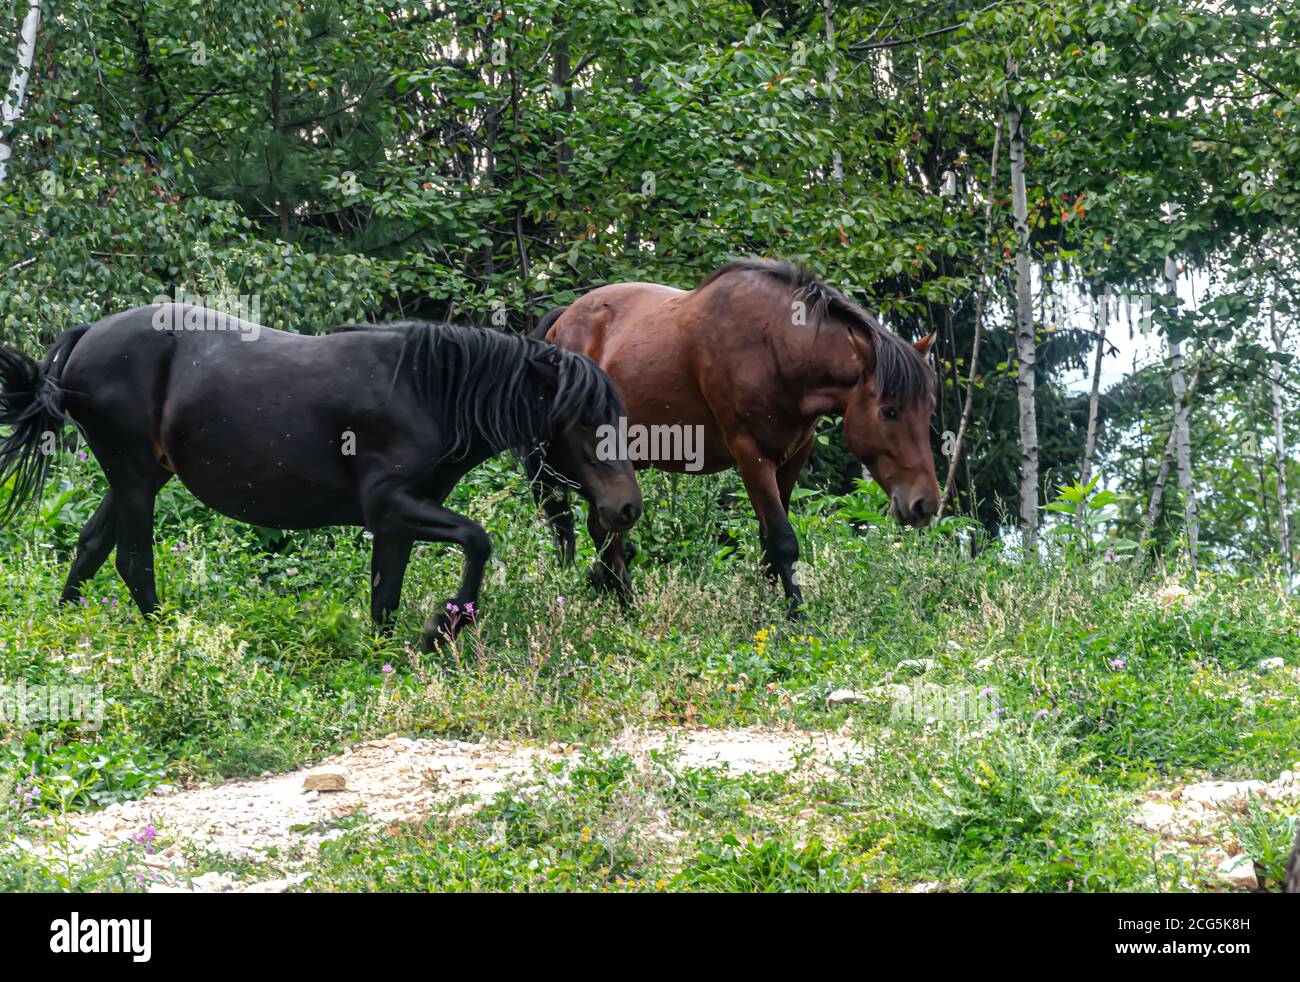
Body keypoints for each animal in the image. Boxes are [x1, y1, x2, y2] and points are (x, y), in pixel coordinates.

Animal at [0, 304, 641, 649]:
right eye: (584, 421)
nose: (627, 508)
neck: (426, 390)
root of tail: (88, 334)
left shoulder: (397, 523)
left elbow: (384, 598)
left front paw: (398, 652)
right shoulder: (392, 507)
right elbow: (477, 542)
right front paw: (443, 628)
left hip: (139, 479)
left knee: (88, 548)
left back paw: (67, 635)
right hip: (134, 479)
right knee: (132, 562)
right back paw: (170, 641)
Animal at [527, 258, 938, 618]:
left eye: (929, 407)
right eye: (888, 411)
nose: (925, 503)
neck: (773, 349)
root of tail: (560, 324)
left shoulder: (792, 456)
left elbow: (768, 543)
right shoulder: (751, 457)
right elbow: (783, 542)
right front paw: (797, 620)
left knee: (604, 529)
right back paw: (626, 607)